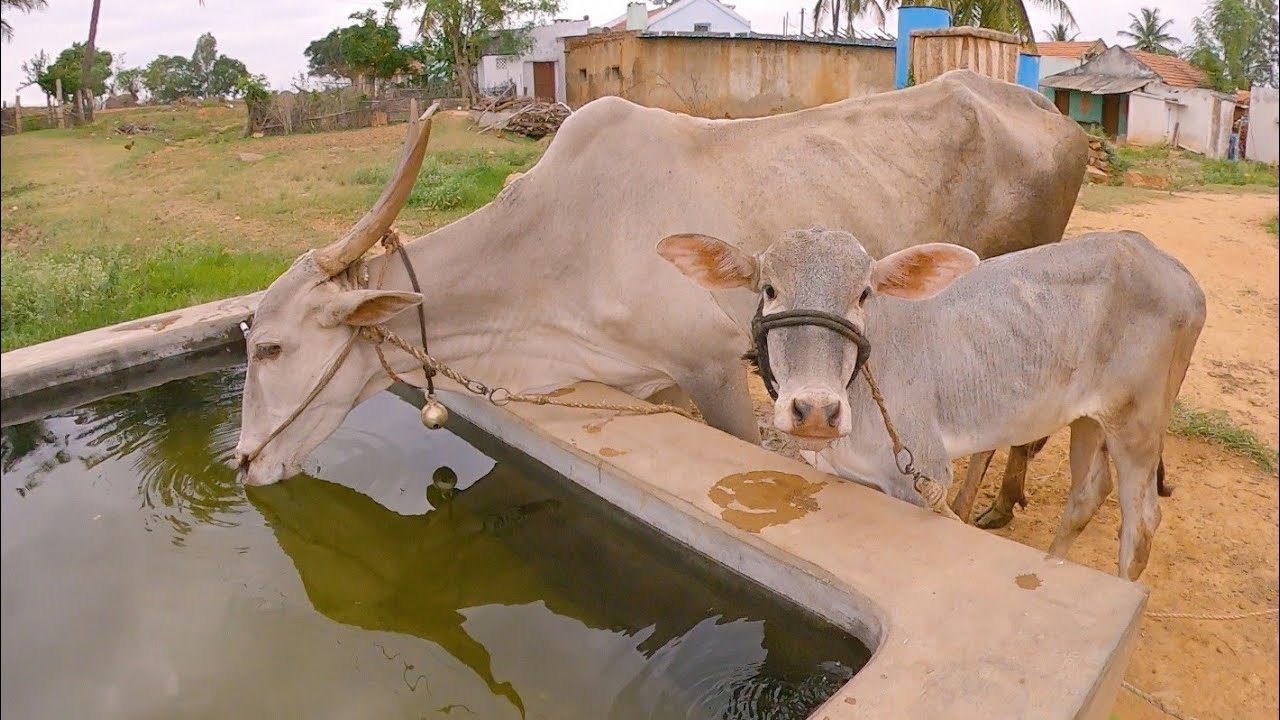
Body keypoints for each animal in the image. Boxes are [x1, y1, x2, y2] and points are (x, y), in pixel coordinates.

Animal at [655, 228, 1205, 580]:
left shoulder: (924, 473)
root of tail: (1174, 269)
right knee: (1088, 493)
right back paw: (1051, 567)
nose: (815, 410)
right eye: (770, 289)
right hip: (1088, 417)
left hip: (1138, 420)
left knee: (1142, 521)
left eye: (863, 294)